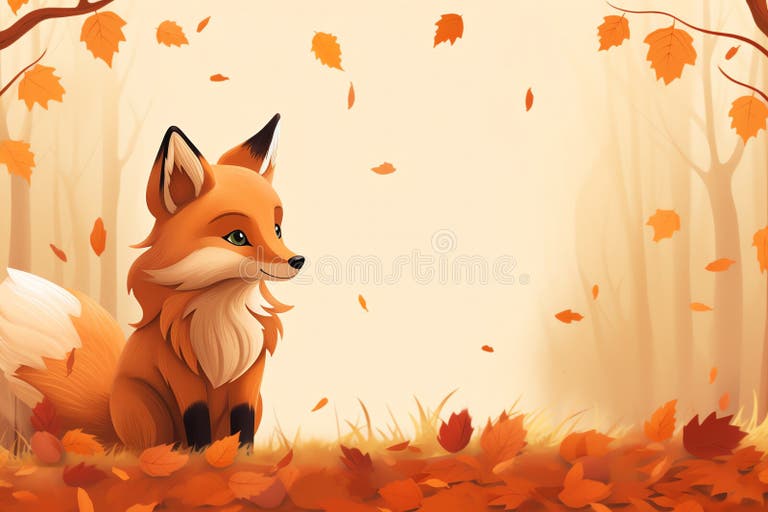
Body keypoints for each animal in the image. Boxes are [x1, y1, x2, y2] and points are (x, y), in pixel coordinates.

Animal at [0, 113, 304, 450]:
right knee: (150, 445)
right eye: (237, 237)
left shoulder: (249, 376)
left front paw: (238, 458)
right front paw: (203, 458)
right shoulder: (180, 373)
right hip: (142, 403)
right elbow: (196, 419)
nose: (297, 261)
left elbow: (244, 425)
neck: (222, 318)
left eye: (277, 230)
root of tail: (112, 423)